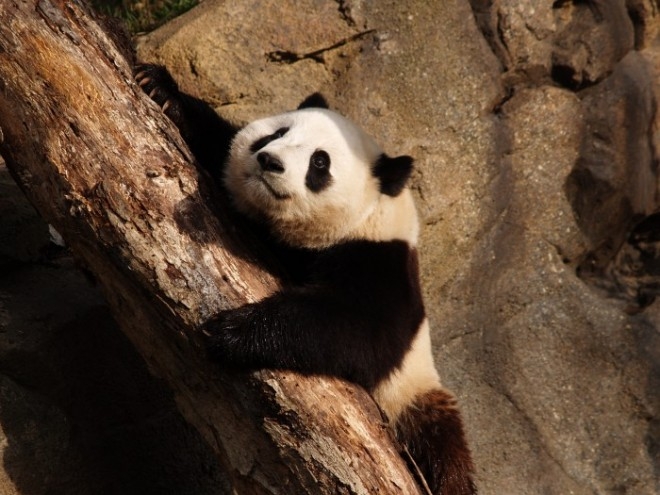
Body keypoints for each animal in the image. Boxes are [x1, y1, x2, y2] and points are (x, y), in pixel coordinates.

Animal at [136, 64, 476, 495]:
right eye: (277, 133)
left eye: (319, 163)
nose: (269, 161)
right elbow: (219, 140)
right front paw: (160, 88)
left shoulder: (382, 265)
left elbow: (355, 331)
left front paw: (234, 332)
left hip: (414, 395)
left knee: (443, 445)